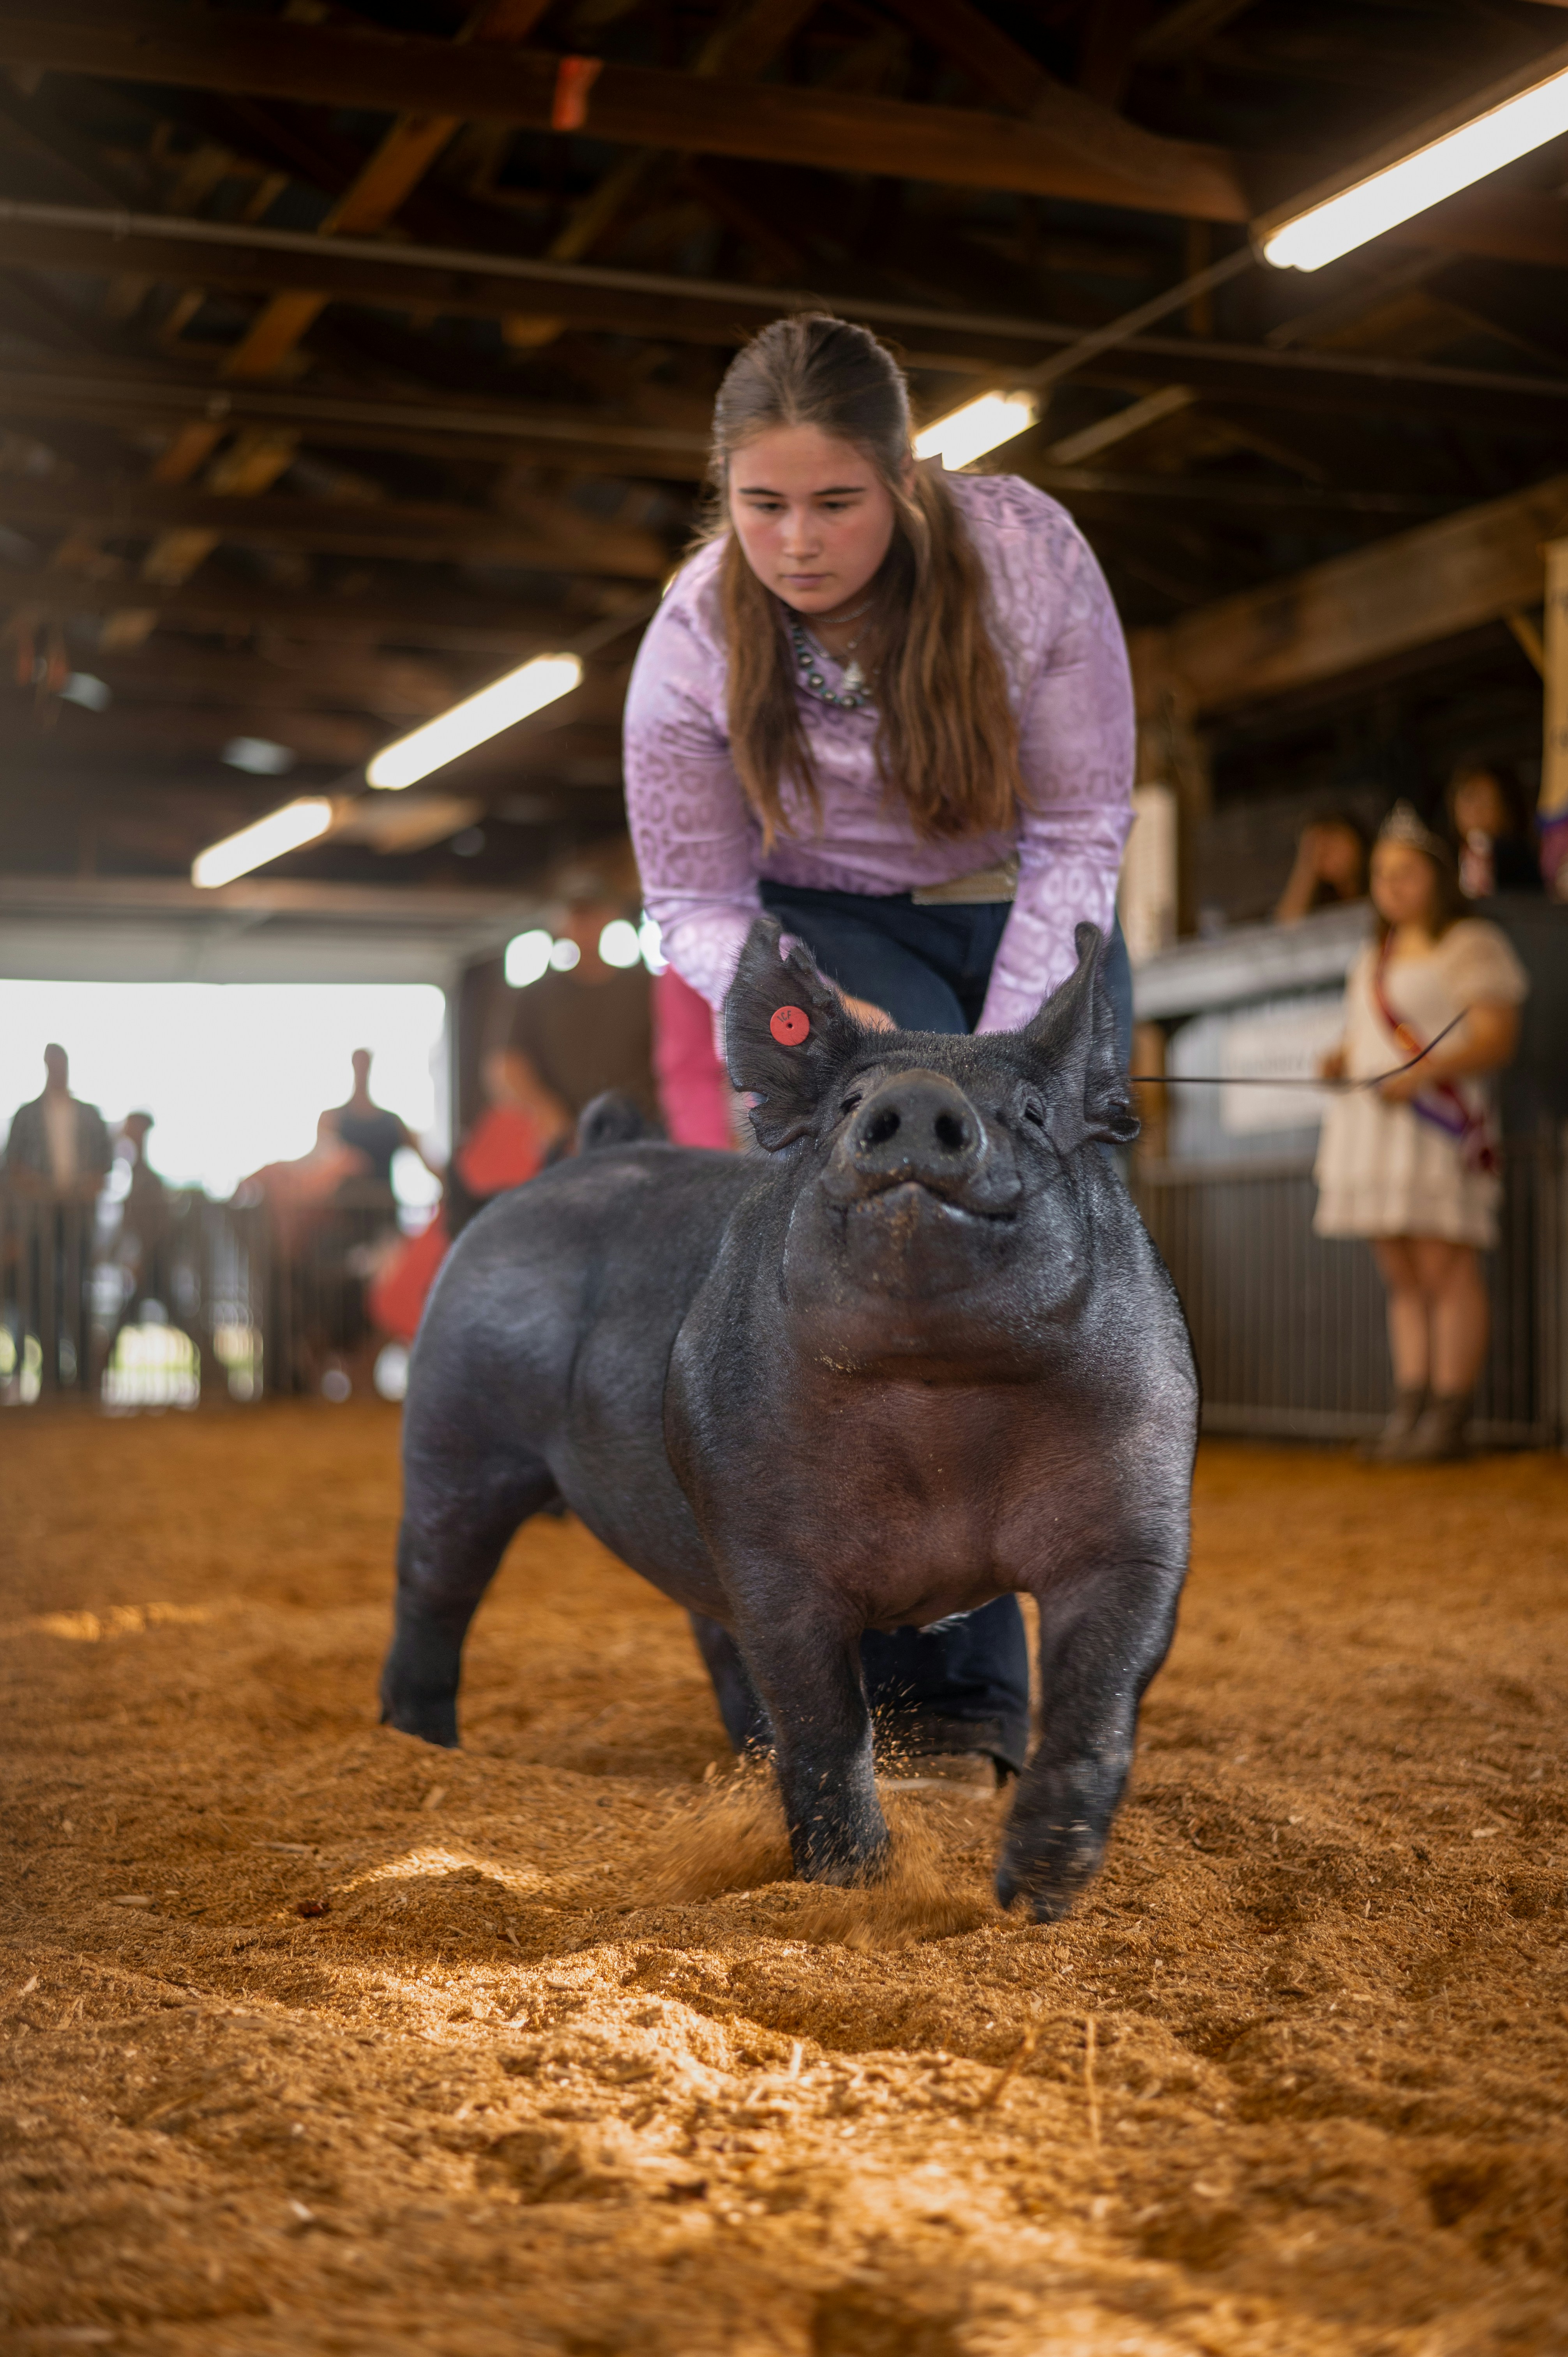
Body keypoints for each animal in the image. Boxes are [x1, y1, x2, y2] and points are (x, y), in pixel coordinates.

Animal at [380, 919, 1197, 1920]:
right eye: (848, 1101)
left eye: (1033, 1113)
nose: (914, 1100)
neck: (938, 1408)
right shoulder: (768, 1542)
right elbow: (823, 1718)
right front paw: (859, 1887)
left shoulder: (1135, 1513)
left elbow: (1097, 1691)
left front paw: (1034, 1898)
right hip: (454, 1431)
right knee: (433, 1591)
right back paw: (422, 1744)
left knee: (705, 1627)